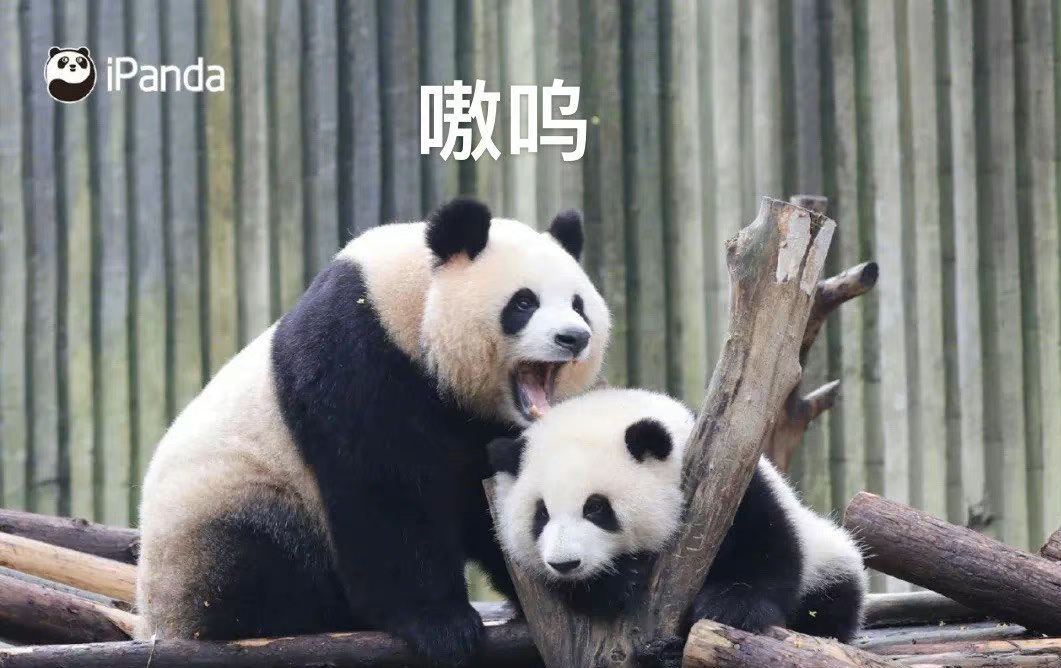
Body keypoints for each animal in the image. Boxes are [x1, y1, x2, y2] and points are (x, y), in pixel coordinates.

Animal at [136, 198, 610, 666]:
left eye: (578, 304)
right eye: (523, 303)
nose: (574, 337)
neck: (407, 305)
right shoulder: (357, 358)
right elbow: (386, 491)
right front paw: (442, 627)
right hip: (217, 511)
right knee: (255, 557)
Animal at [488, 388, 867, 649]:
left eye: (596, 507)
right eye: (541, 514)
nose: (565, 563)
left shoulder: (730, 481)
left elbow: (766, 544)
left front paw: (731, 608)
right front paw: (613, 582)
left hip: (828, 558)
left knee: (831, 600)